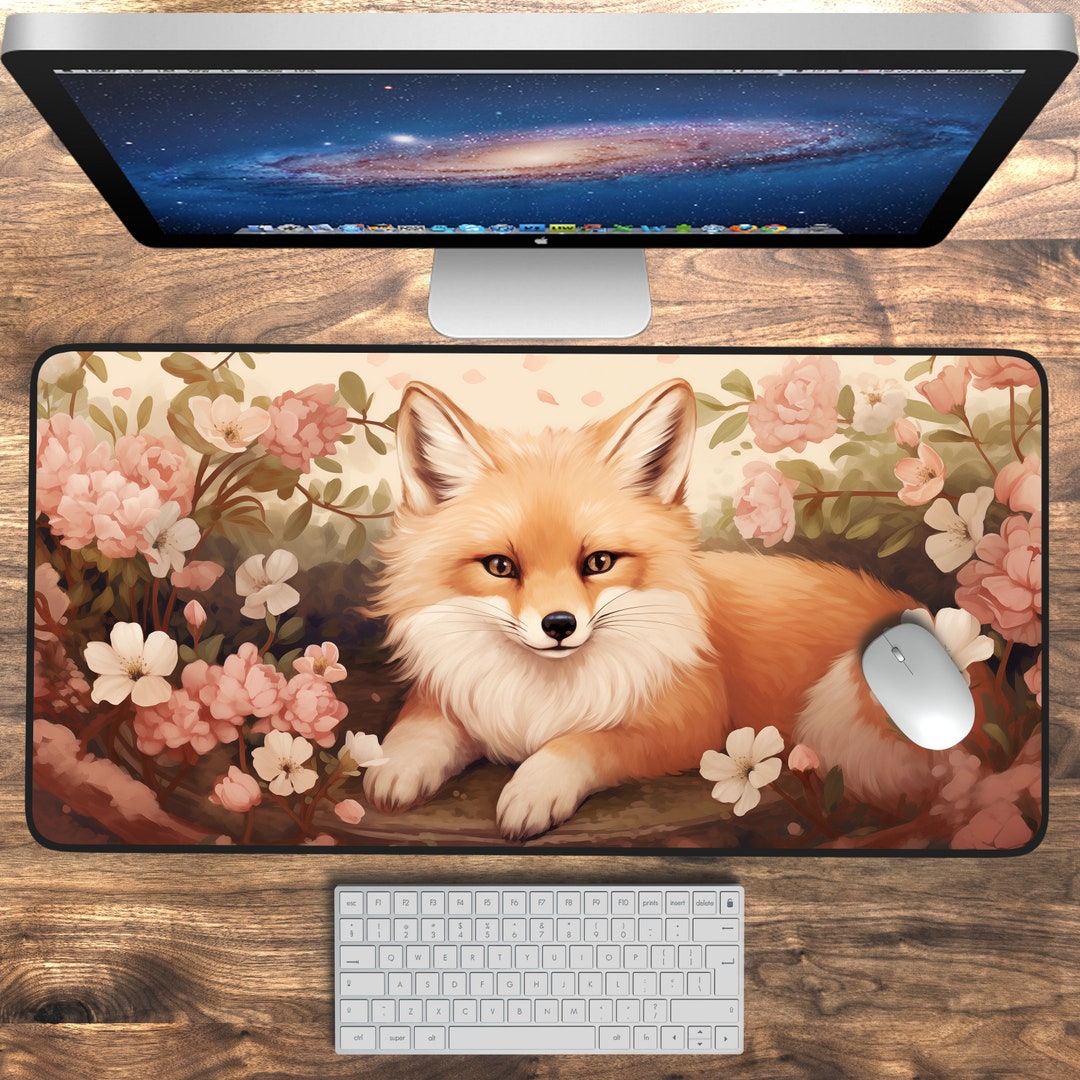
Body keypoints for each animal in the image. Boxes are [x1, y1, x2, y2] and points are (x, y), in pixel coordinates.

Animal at [363, 377, 945, 841]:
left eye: (598, 562)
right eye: (501, 567)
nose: (559, 625)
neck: (542, 697)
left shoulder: (694, 725)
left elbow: (583, 743)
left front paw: (534, 786)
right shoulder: (463, 690)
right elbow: (422, 724)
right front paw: (394, 763)